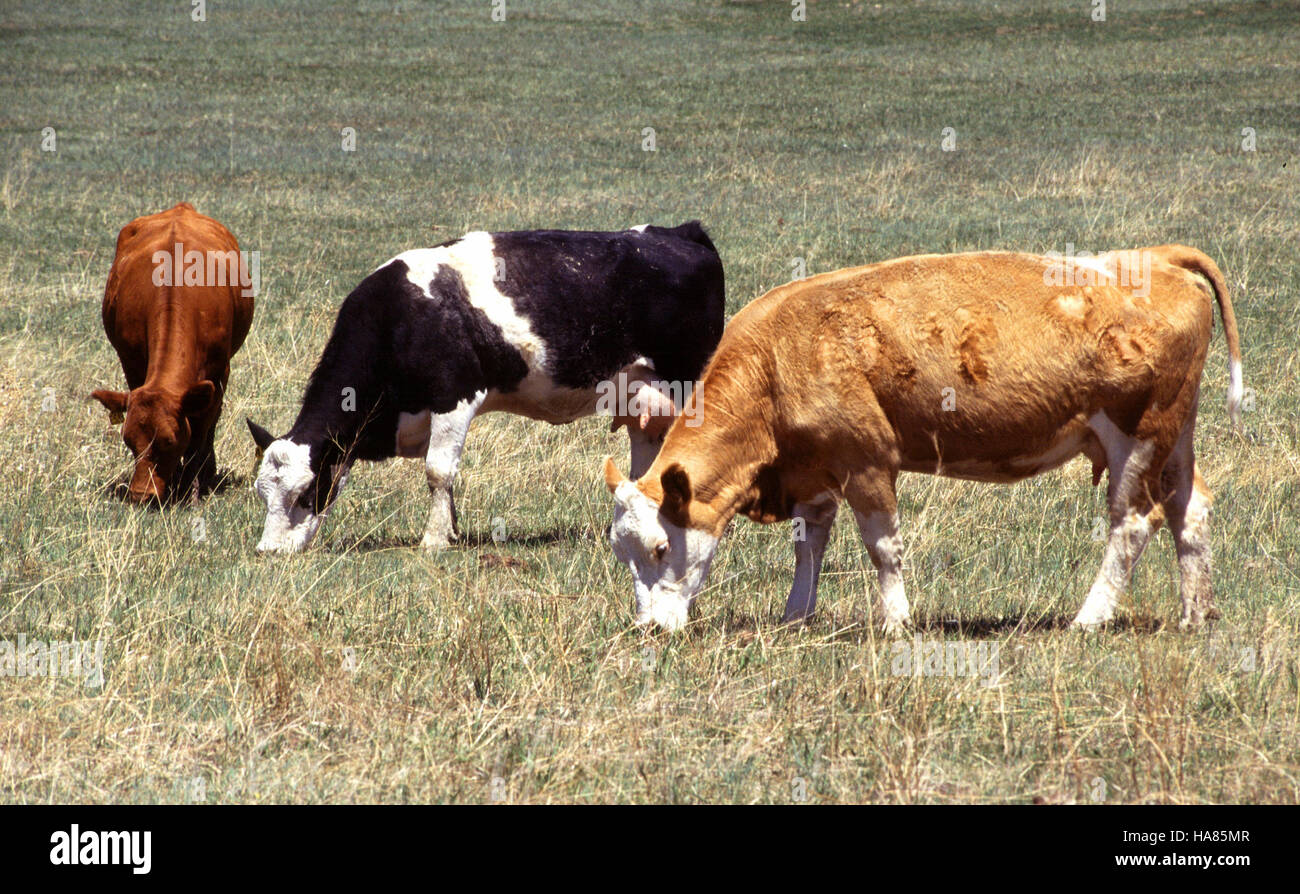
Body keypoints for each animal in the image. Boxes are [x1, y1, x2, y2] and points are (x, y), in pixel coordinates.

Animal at [91, 203, 255, 503]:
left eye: (169, 440)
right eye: (128, 441)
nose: (141, 495)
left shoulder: (219, 373)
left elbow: (202, 432)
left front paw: (193, 488)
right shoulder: (132, 364)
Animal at [247, 222, 724, 553]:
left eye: (305, 493)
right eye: (262, 493)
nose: (269, 551)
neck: (402, 316)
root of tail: (681, 233)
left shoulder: (454, 398)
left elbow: (438, 471)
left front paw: (434, 540)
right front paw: (451, 530)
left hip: (687, 383)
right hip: (641, 394)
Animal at [603, 245, 1242, 633]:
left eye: (659, 548)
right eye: (621, 551)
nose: (648, 629)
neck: (778, 359)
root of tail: (1153, 258)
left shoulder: (866, 461)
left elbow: (883, 547)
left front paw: (895, 621)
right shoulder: (813, 469)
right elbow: (809, 545)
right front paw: (796, 615)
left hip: (1137, 438)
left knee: (1131, 523)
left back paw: (1089, 616)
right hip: (1174, 439)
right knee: (1190, 512)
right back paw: (1196, 613)